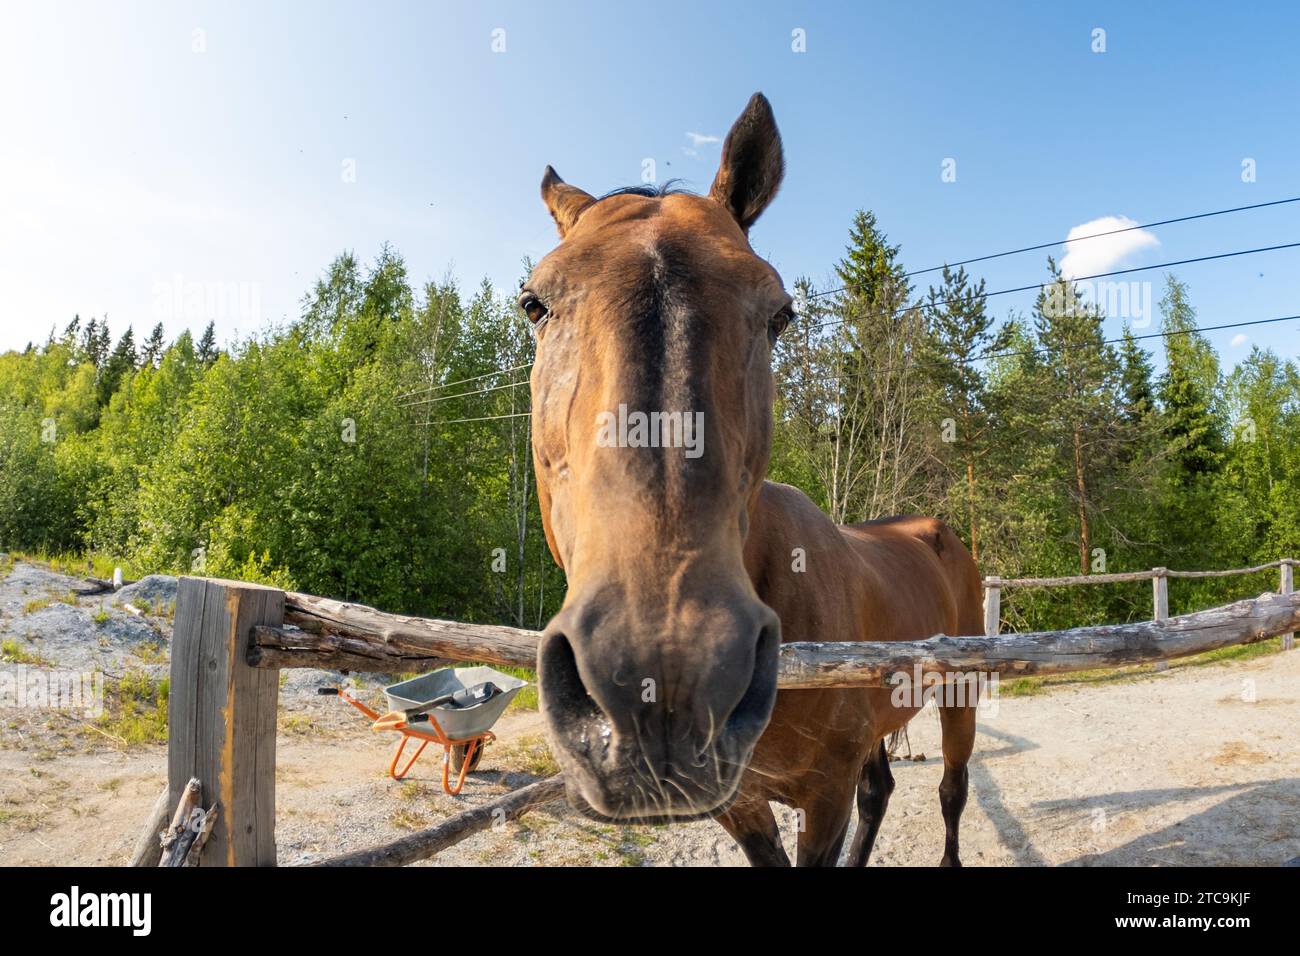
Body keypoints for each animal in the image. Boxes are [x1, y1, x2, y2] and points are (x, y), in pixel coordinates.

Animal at [525, 92, 984, 866]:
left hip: (962, 694)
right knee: (883, 789)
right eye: (535, 304)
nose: (665, 681)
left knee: (953, 791)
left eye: (780, 312)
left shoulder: (823, 797)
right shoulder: (741, 805)